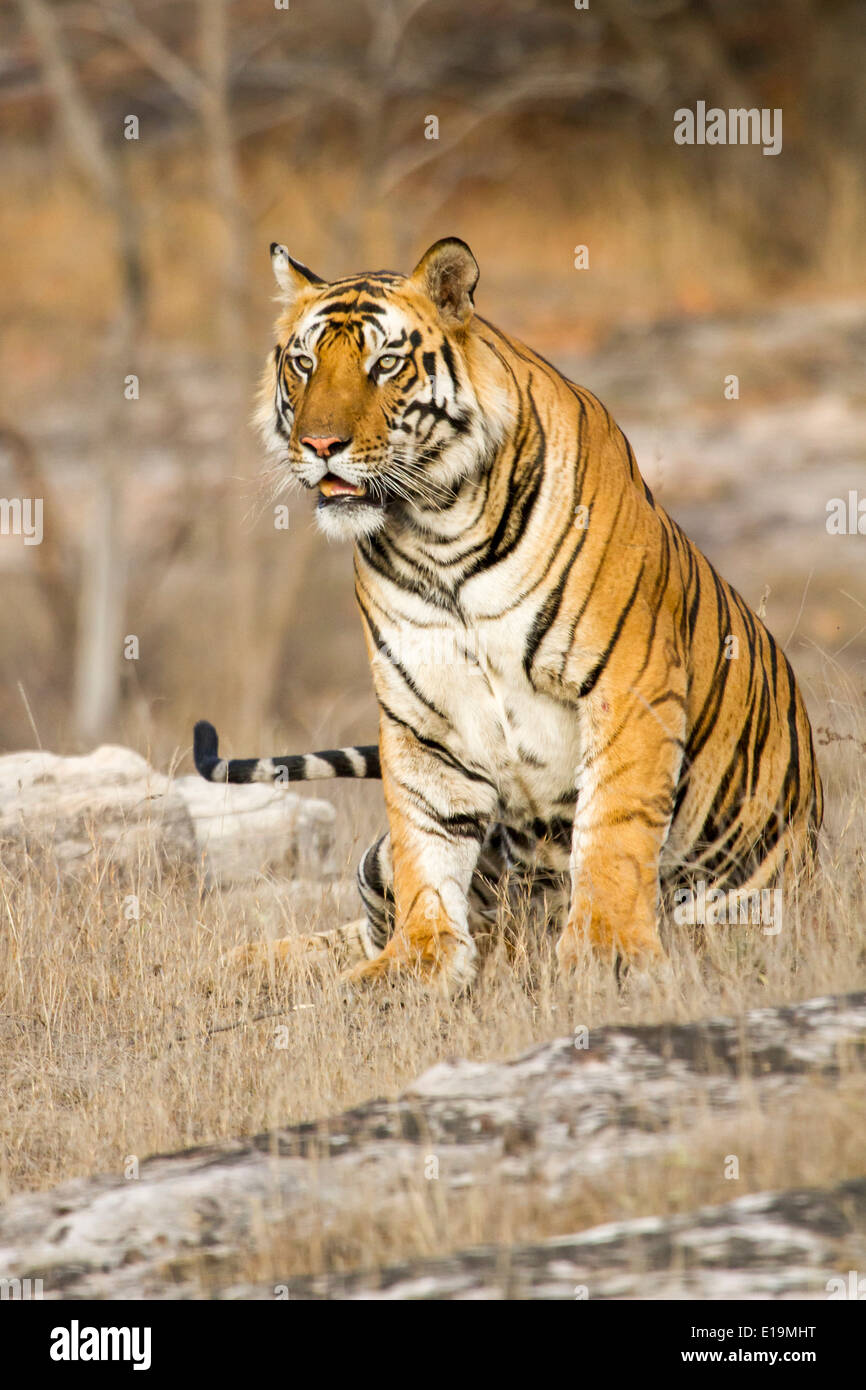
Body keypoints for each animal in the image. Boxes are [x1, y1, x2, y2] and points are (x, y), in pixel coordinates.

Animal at [194, 236, 823, 993]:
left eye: (385, 364)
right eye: (305, 363)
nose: (320, 447)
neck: (435, 534)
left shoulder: (629, 683)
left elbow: (613, 824)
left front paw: (606, 955)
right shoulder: (423, 715)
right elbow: (424, 844)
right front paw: (415, 965)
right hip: (376, 862)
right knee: (365, 917)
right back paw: (234, 963)